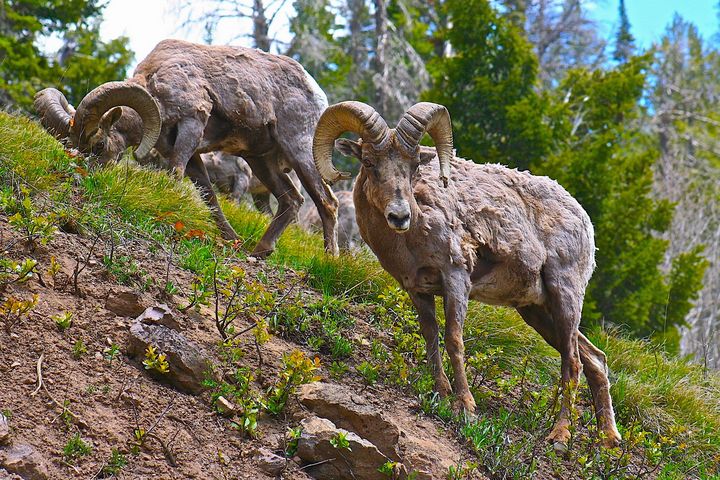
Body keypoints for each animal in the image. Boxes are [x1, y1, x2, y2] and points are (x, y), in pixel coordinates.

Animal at [33, 39, 339, 257]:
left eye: (98, 145)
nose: (84, 179)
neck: (157, 84)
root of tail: (315, 91)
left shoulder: (191, 125)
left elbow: (174, 176)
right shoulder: (189, 155)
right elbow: (210, 198)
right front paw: (232, 241)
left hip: (300, 151)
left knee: (327, 202)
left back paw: (329, 261)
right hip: (260, 160)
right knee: (292, 201)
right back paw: (260, 251)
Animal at [312, 101, 622, 451]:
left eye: (414, 165)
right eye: (368, 162)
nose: (399, 215)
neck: (409, 239)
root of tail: (583, 218)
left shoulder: (456, 278)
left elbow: (454, 339)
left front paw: (465, 406)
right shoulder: (418, 290)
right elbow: (431, 337)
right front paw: (440, 393)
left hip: (565, 296)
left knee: (574, 362)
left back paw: (559, 436)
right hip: (537, 311)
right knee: (596, 359)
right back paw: (608, 439)